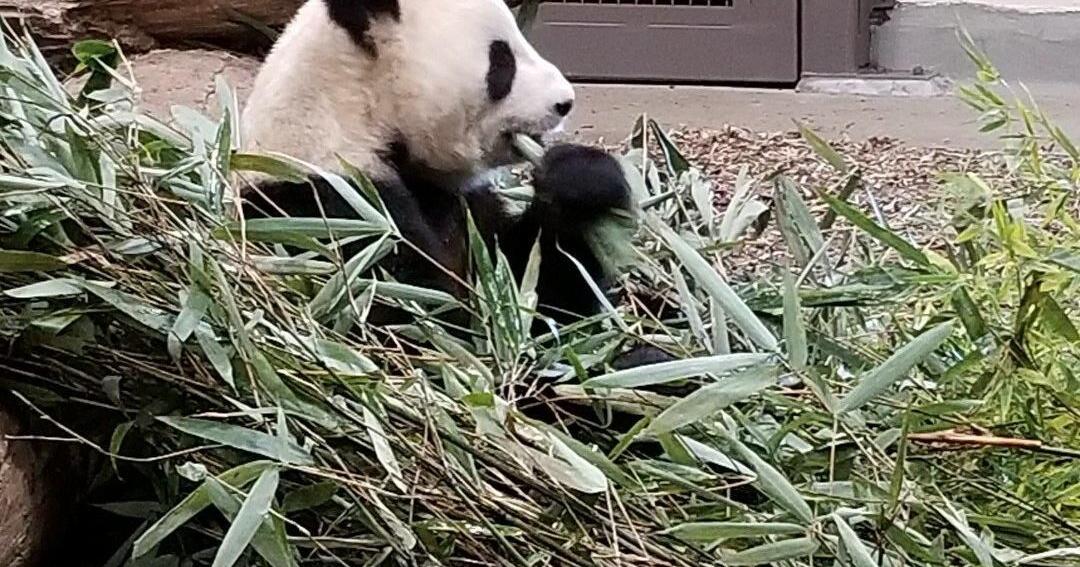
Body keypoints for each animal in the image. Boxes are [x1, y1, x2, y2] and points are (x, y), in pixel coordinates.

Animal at [237, 0, 635, 327]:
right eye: (501, 61)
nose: (565, 102)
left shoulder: (462, 204)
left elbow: (530, 288)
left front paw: (581, 180)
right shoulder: (325, 212)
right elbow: (430, 320)